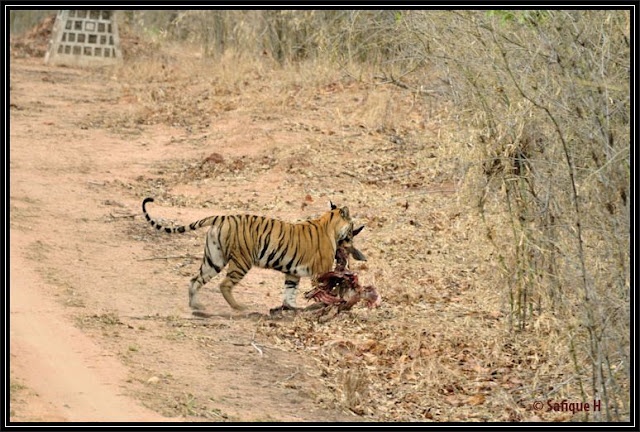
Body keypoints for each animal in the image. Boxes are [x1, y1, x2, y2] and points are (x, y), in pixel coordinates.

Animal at [142, 197, 366, 311]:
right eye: (352, 226)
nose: (352, 243)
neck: (329, 224)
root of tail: (222, 217)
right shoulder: (320, 271)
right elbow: (321, 289)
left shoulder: (292, 273)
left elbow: (290, 291)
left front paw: (291, 308)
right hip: (242, 261)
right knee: (224, 284)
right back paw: (239, 307)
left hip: (214, 259)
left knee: (195, 279)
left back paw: (196, 305)